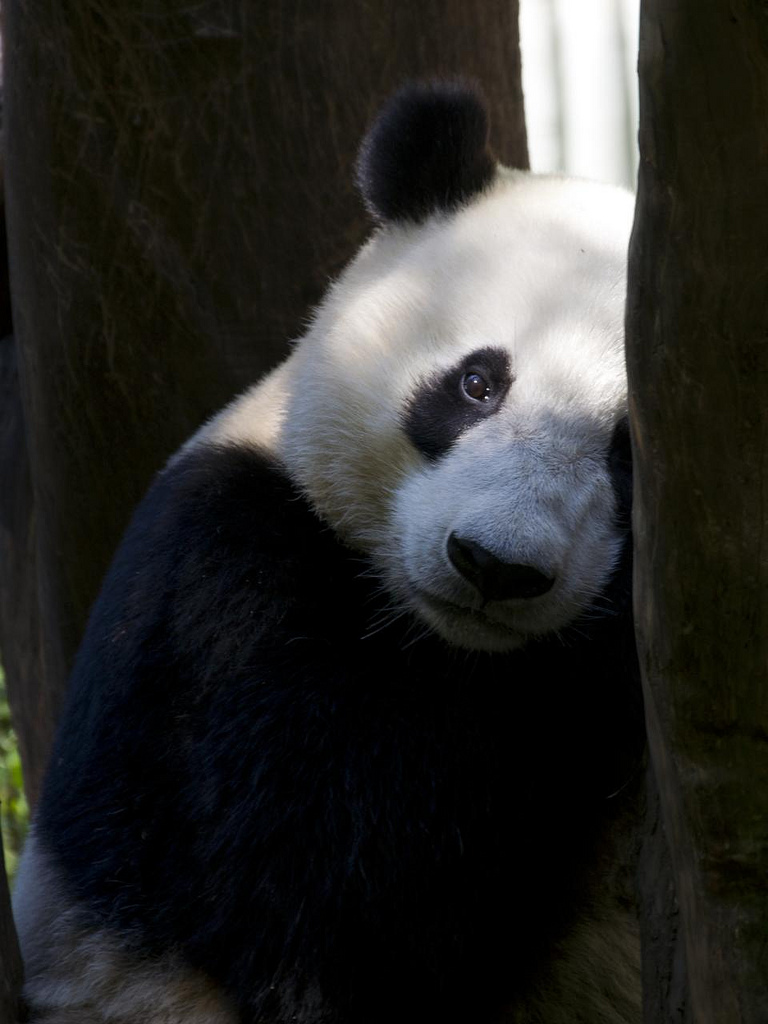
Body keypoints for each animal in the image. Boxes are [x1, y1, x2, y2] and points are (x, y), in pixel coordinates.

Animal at [13, 81, 644, 1024]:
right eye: (477, 383)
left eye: (631, 452)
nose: (494, 566)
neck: (460, 654)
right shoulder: (230, 584)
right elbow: (339, 893)